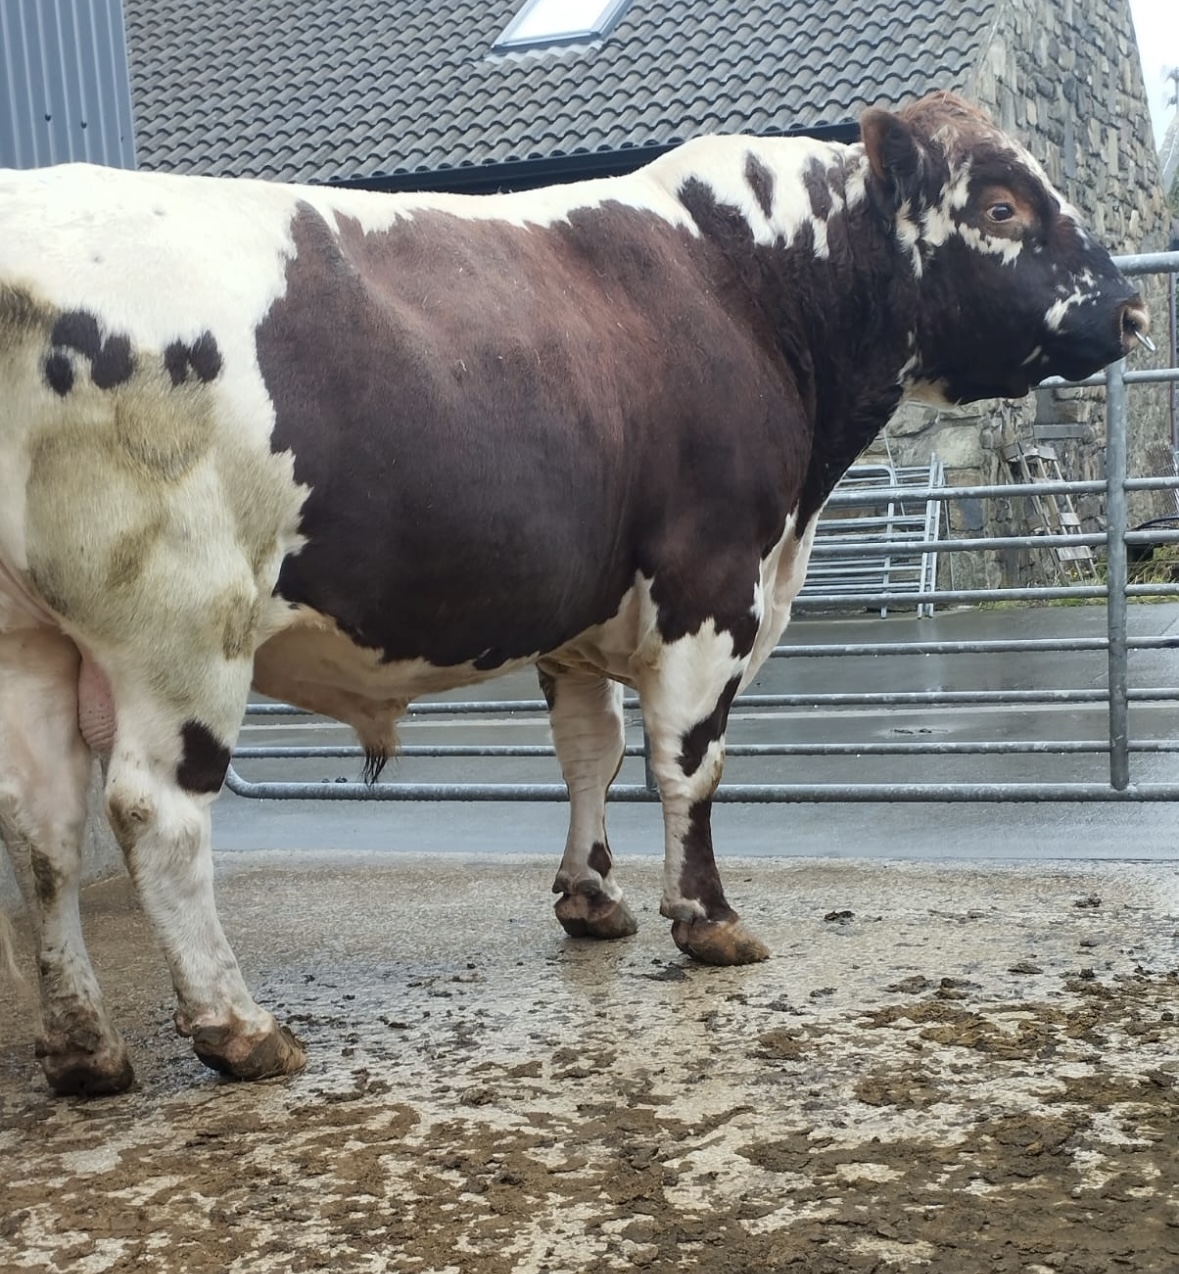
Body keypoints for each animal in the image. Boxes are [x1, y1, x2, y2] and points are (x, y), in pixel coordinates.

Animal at [0, 92, 1150, 1095]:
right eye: (1000, 207)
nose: (1133, 305)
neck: (757, 286)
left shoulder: (580, 614)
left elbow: (589, 751)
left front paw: (591, 897)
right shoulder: (710, 582)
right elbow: (689, 763)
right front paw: (708, 916)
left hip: (31, 643)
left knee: (41, 823)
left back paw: (83, 1047)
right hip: (183, 623)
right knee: (153, 814)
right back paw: (239, 1027)